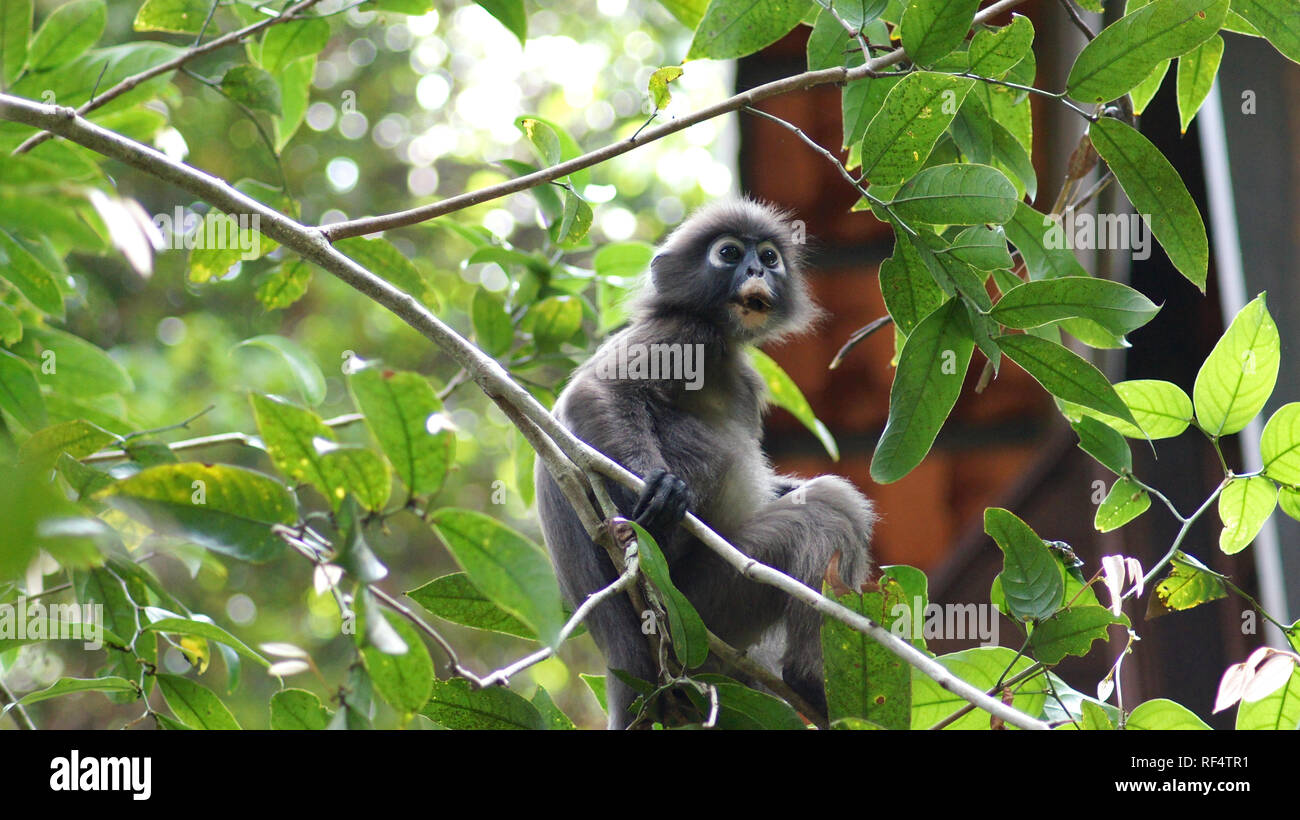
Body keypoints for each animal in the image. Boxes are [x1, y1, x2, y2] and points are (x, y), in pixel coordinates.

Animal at [535, 199, 875, 729]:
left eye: (769, 257)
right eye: (730, 253)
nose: (757, 270)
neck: (723, 340)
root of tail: (621, 660)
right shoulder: (681, 333)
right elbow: (598, 389)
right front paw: (658, 489)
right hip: (697, 612)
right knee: (825, 508)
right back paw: (812, 685)